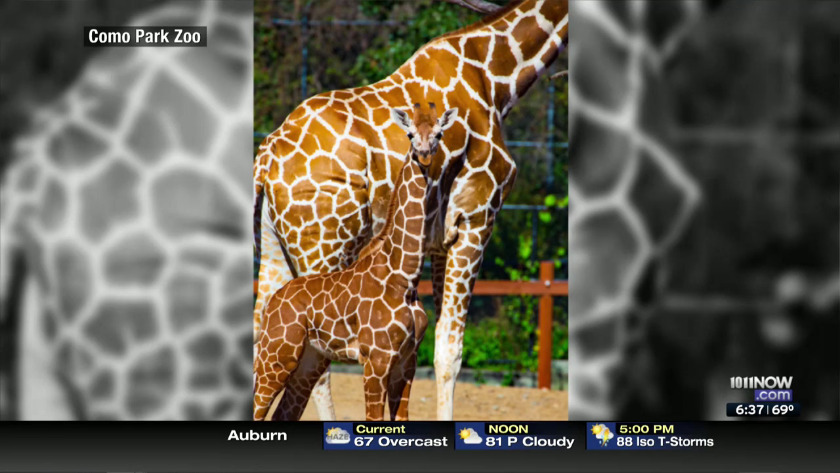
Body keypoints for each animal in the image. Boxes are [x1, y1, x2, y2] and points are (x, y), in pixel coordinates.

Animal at [255, 103, 459, 421]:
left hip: (309, 360)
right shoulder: (376, 358)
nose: (424, 154)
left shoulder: (407, 361)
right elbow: (373, 419)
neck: (404, 276)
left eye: (439, 133)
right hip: (276, 354)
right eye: (410, 134)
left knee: (284, 413)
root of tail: (274, 302)